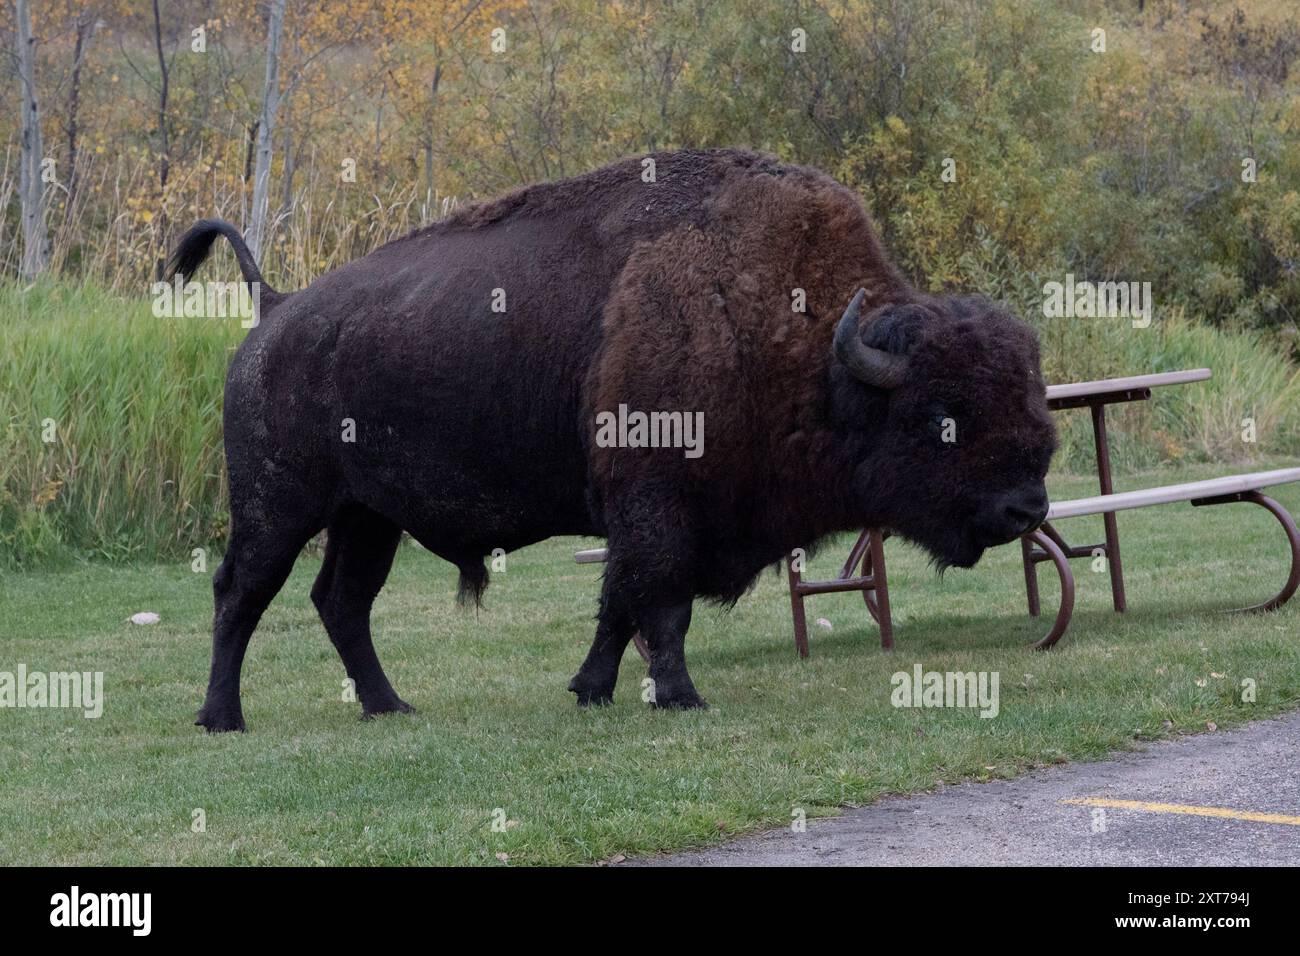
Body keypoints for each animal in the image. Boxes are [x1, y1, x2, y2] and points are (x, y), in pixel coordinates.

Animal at [169, 147, 1055, 732]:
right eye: (941, 416)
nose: (1027, 508)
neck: (792, 335)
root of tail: (276, 308)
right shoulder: (658, 504)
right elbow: (658, 602)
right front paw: (681, 696)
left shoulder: (645, 516)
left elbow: (617, 604)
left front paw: (591, 689)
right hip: (279, 506)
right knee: (241, 593)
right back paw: (221, 717)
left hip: (368, 516)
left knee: (342, 601)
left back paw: (391, 707)